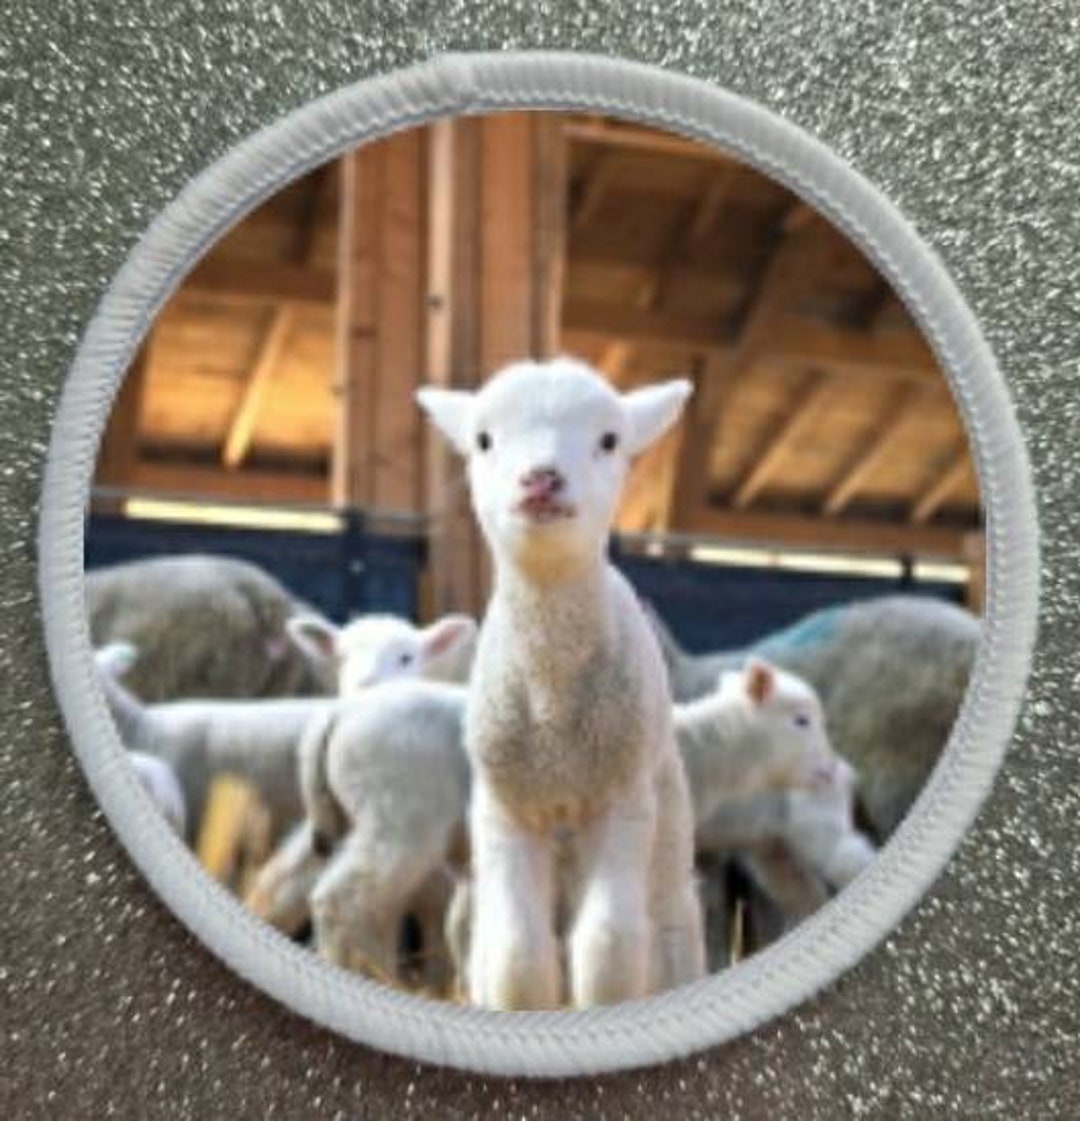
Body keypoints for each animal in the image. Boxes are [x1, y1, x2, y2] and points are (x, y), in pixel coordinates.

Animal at [418, 357, 704, 1009]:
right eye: (483, 440)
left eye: (610, 440)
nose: (541, 479)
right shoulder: (506, 809)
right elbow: (518, 958)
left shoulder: (621, 800)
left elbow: (608, 947)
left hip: (667, 828)